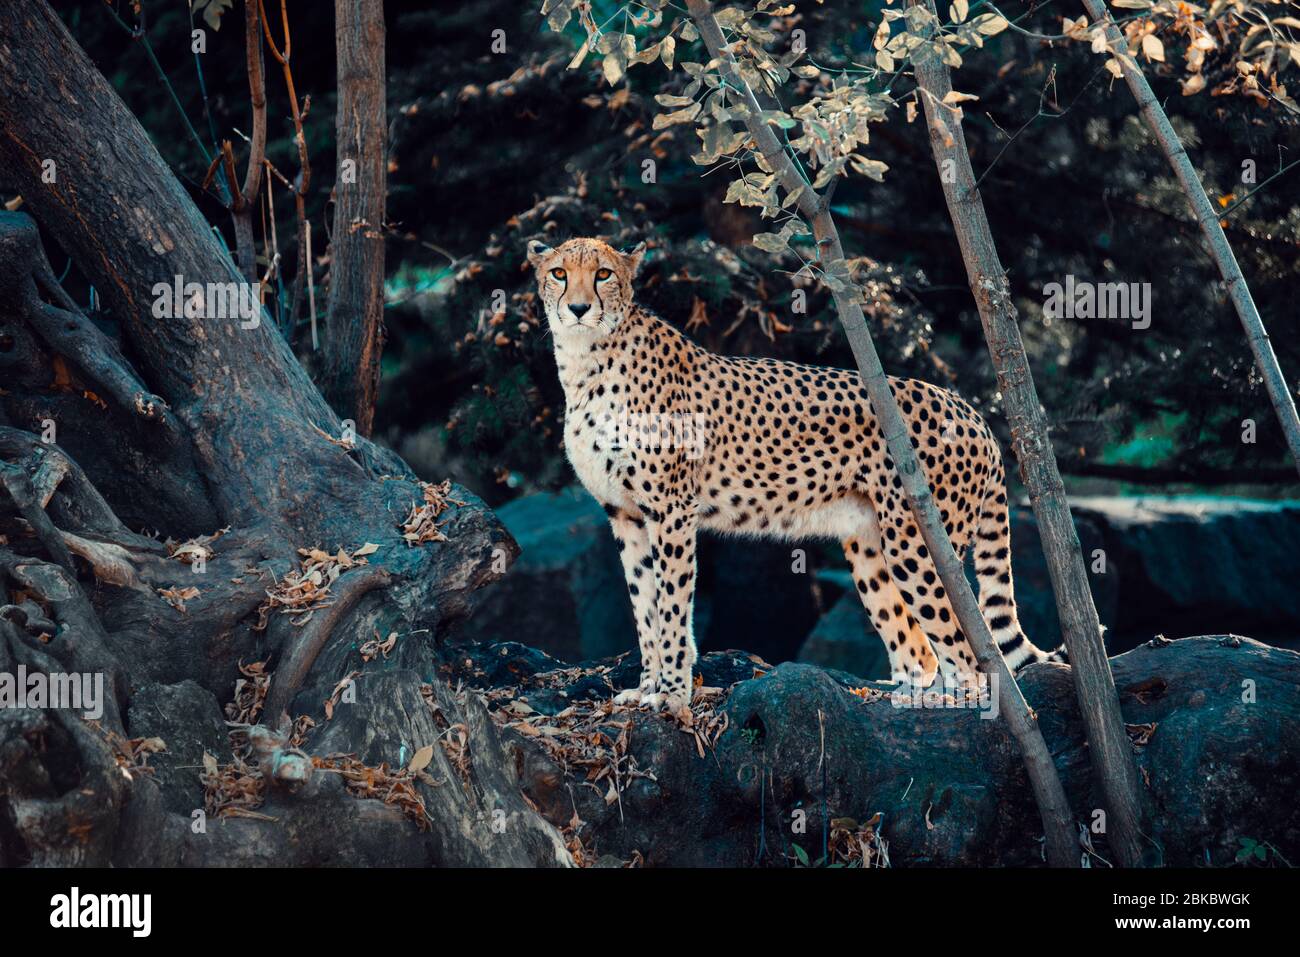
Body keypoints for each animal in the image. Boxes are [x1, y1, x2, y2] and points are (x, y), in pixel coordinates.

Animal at [527, 236, 1065, 713]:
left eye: (603, 274)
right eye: (559, 273)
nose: (578, 307)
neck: (585, 358)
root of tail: (968, 407)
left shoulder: (671, 512)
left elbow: (672, 608)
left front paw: (673, 695)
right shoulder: (625, 514)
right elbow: (645, 608)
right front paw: (645, 689)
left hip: (921, 542)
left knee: (967, 655)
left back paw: (943, 710)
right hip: (871, 549)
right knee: (919, 647)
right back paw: (907, 701)